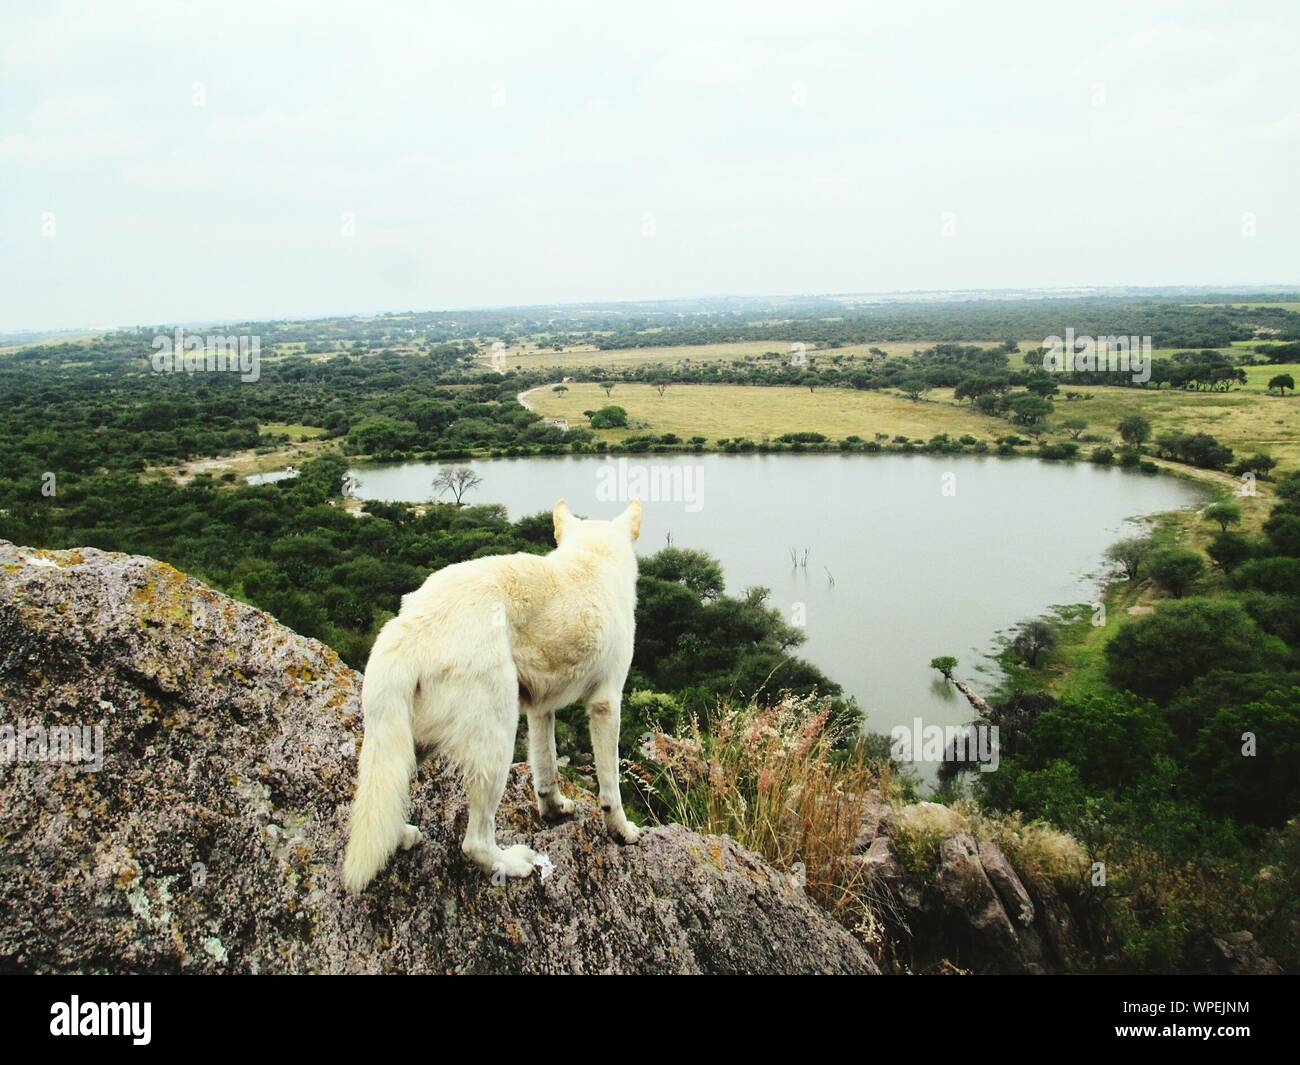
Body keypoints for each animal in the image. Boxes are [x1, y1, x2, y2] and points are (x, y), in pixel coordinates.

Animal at [342, 498, 643, 892]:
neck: (592, 558)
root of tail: (409, 626)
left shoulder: (540, 708)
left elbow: (546, 769)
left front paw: (554, 809)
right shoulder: (606, 703)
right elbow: (611, 786)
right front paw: (622, 830)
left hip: (410, 740)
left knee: (383, 796)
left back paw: (400, 836)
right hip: (496, 736)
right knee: (475, 842)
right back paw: (511, 863)